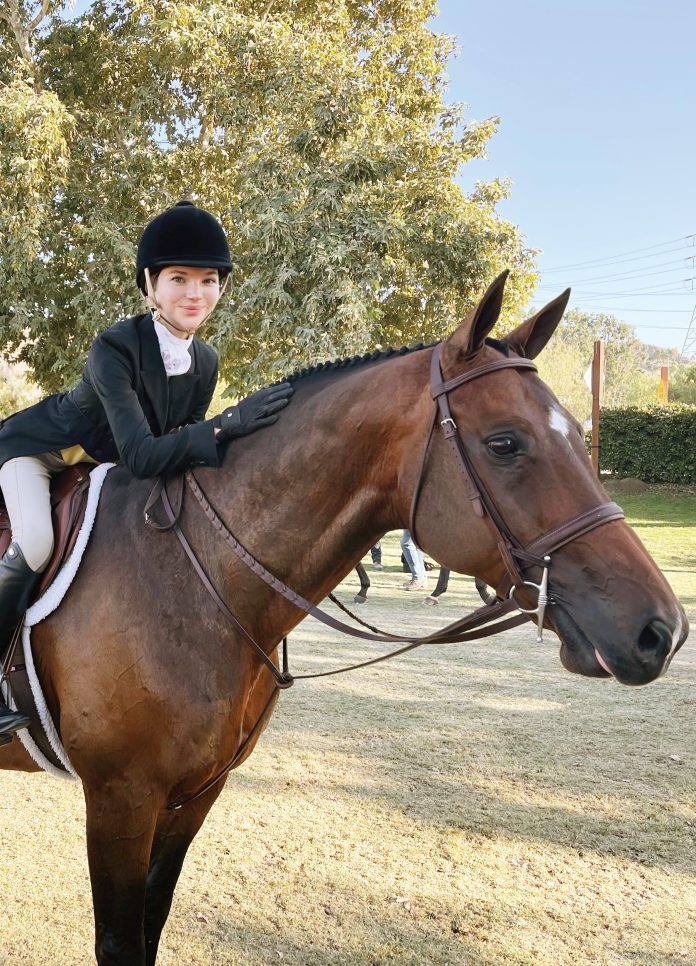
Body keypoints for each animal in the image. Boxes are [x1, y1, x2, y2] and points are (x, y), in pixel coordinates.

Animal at [0, 272, 688, 965]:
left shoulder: (194, 795)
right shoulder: (122, 798)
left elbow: (154, 921)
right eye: (504, 443)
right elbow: (121, 942)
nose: (661, 631)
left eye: (577, 432)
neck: (191, 575)